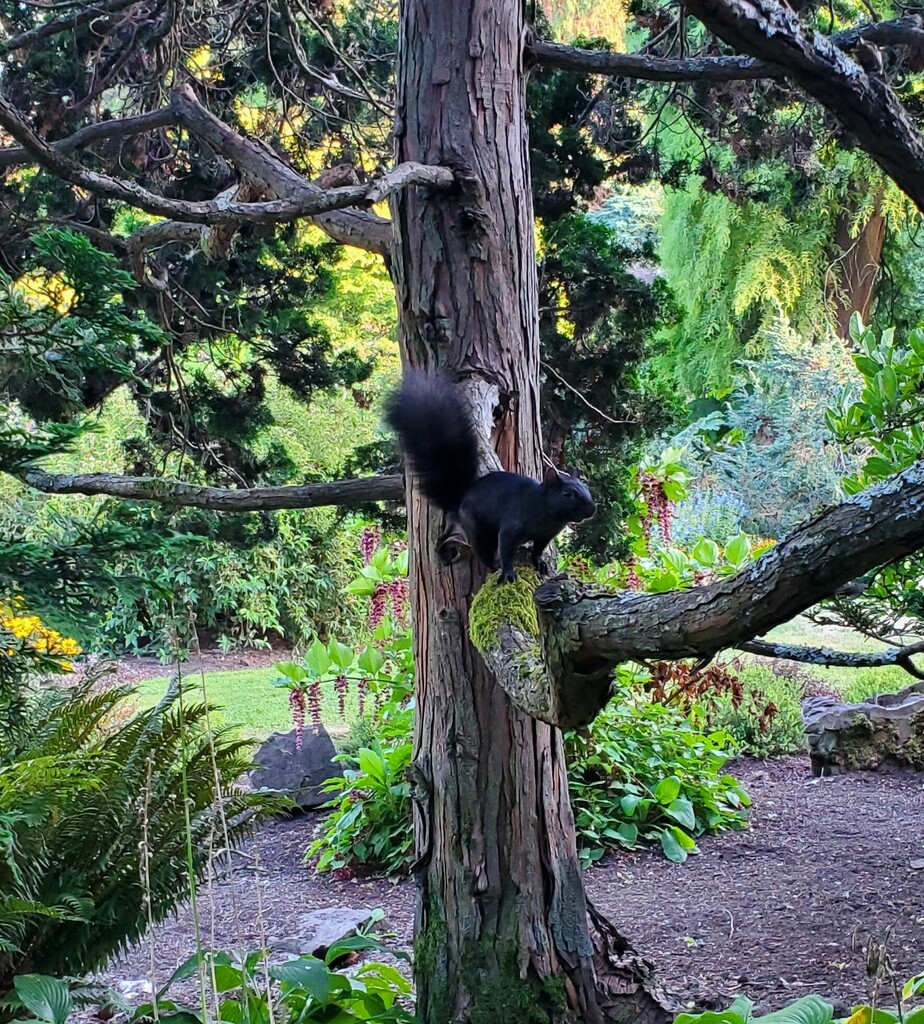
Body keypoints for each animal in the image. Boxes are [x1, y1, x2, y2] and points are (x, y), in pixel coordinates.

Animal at [384, 370, 595, 583]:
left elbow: (538, 550)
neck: (547, 512)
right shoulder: (512, 524)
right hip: (477, 529)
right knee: (483, 552)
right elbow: (506, 548)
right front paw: (508, 571)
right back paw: (493, 564)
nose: (592, 509)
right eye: (567, 493)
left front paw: (539, 562)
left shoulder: (545, 535)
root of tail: (459, 501)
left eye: (587, 488)